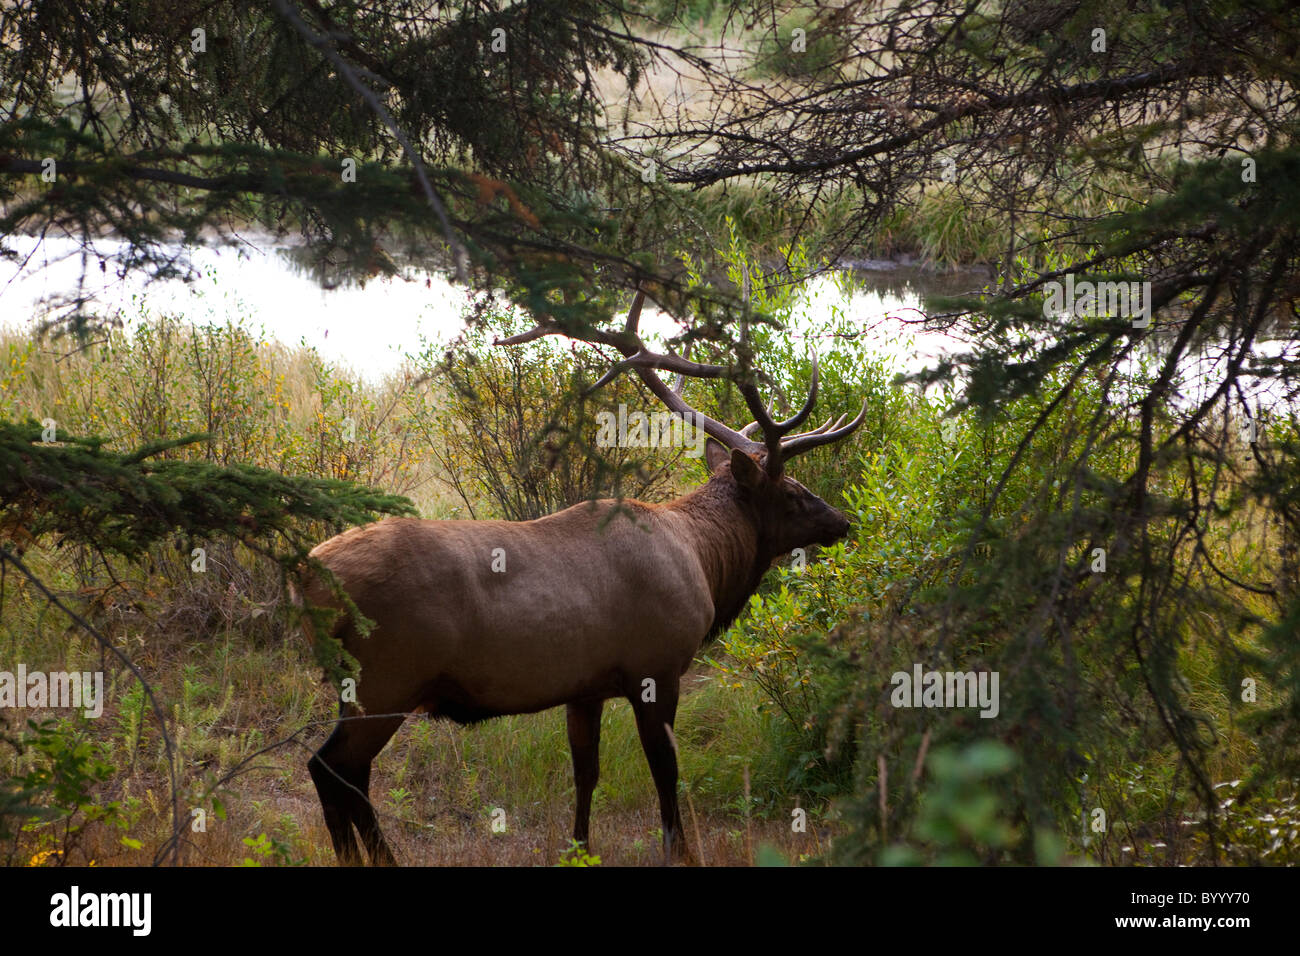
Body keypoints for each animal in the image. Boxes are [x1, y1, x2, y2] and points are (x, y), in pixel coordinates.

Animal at [296, 288, 865, 865]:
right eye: (793, 491)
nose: (843, 521)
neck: (705, 561)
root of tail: (307, 582)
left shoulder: (584, 688)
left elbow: (585, 774)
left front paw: (579, 848)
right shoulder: (656, 668)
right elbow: (665, 774)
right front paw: (678, 850)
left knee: (344, 773)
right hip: (387, 678)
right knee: (333, 768)